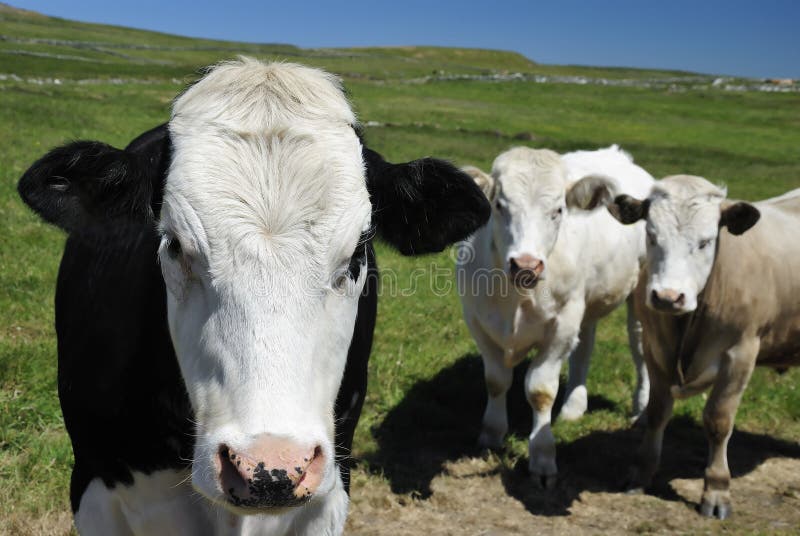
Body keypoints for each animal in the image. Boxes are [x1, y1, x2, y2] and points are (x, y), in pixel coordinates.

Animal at [457, 145, 654, 487]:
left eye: (558, 210)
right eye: (499, 205)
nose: (525, 265)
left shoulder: (561, 326)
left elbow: (540, 390)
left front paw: (542, 457)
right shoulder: (477, 320)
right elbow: (496, 380)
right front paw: (491, 434)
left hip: (637, 295)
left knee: (640, 347)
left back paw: (640, 410)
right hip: (585, 305)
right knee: (585, 346)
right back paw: (573, 406)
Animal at [584, 174, 800, 518]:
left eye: (705, 241)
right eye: (651, 235)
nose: (667, 297)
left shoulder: (740, 353)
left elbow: (718, 420)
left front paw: (716, 490)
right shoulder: (654, 347)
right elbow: (657, 412)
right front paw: (641, 473)